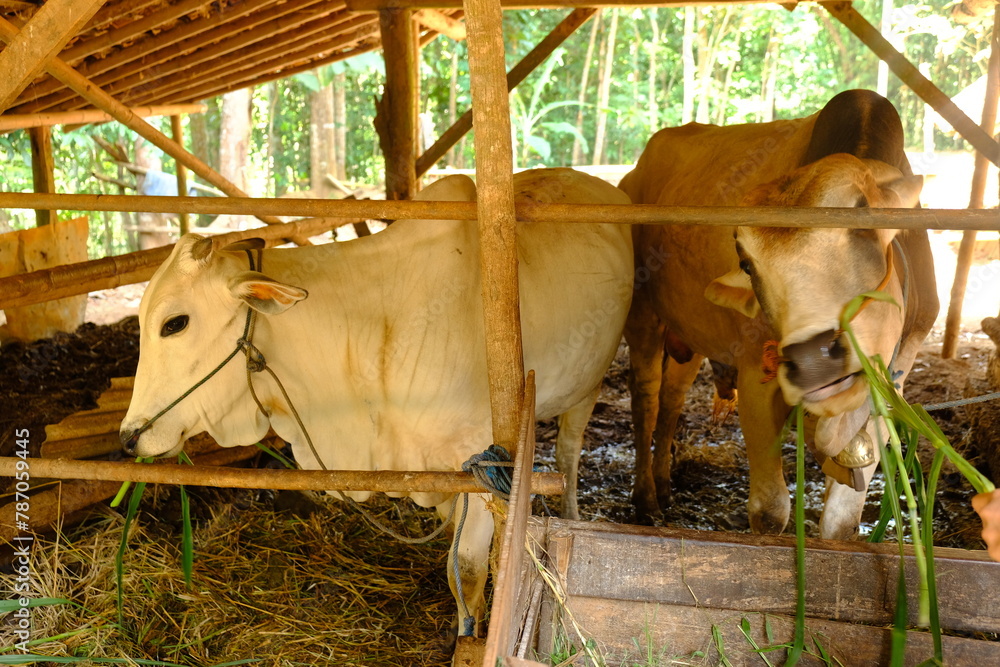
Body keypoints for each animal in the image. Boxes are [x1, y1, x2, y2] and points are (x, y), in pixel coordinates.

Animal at [119, 168, 634, 637]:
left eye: (175, 323)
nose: (129, 437)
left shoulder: (480, 466)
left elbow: (466, 573)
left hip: (589, 386)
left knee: (567, 456)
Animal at [618, 90, 938, 539]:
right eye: (747, 263)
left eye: (863, 227)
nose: (814, 360)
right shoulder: (757, 377)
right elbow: (770, 511)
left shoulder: (891, 383)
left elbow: (840, 523)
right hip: (644, 315)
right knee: (645, 399)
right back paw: (646, 498)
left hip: (689, 339)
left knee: (671, 400)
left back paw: (664, 487)